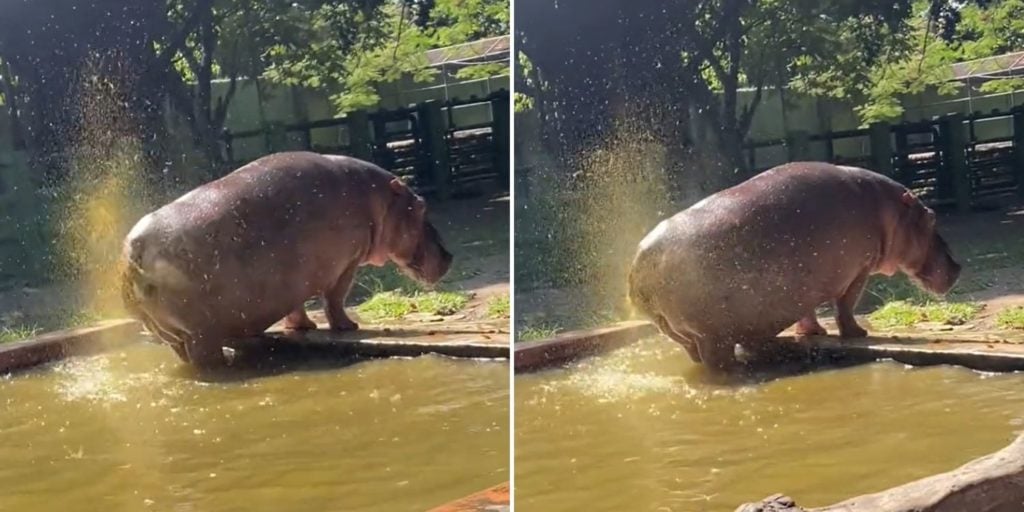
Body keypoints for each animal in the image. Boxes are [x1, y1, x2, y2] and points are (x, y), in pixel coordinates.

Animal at [119, 151, 452, 368]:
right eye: (421, 205)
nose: (449, 255)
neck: (377, 199)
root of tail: (132, 255)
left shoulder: (292, 277)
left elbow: (296, 305)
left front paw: (303, 327)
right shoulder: (347, 263)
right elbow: (335, 299)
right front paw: (349, 327)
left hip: (173, 336)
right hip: (200, 335)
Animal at [628, 161, 961, 372]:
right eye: (932, 217)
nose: (958, 267)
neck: (888, 209)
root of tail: (639, 271)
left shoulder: (803, 281)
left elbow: (807, 309)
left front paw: (812, 333)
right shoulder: (859, 271)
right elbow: (845, 306)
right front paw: (859, 334)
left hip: (682, 334)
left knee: (693, 354)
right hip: (712, 336)